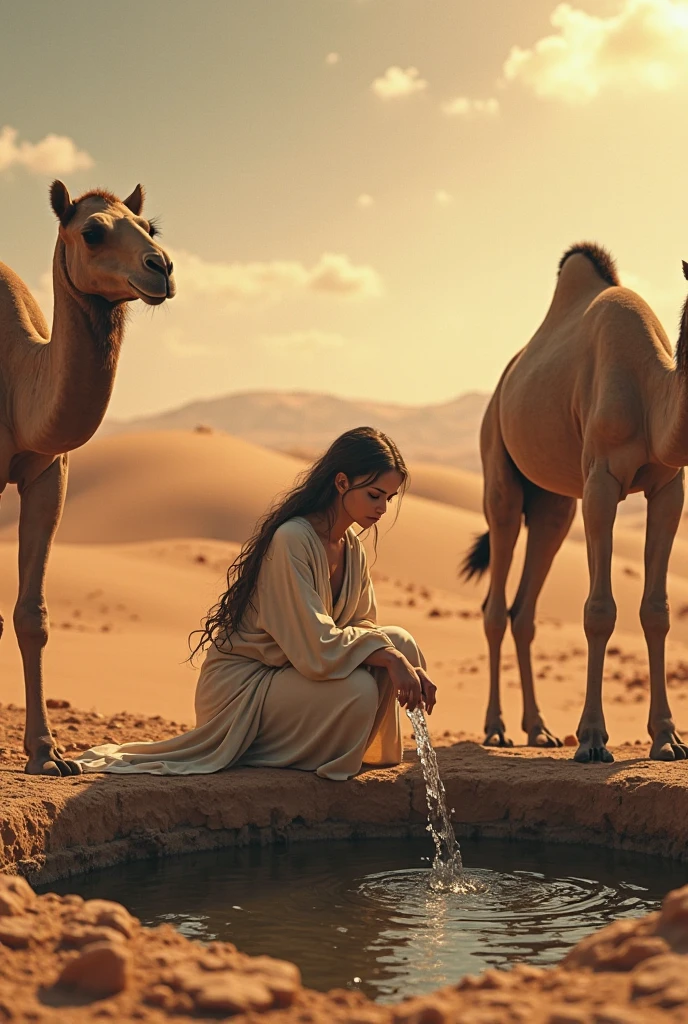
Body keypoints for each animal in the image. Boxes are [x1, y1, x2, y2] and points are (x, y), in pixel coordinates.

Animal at [0, 180, 175, 775]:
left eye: (150, 228)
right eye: (92, 232)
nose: (161, 267)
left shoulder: (48, 472)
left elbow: (32, 616)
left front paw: (48, 755)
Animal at [463, 241, 688, 764]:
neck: (651, 395)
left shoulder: (670, 488)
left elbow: (656, 610)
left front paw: (667, 738)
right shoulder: (601, 483)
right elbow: (599, 610)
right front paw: (591, 739)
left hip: (555, 503)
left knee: (523, 610)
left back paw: (538, 729)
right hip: (499, 467)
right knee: (495, 600)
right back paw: (496, 729)